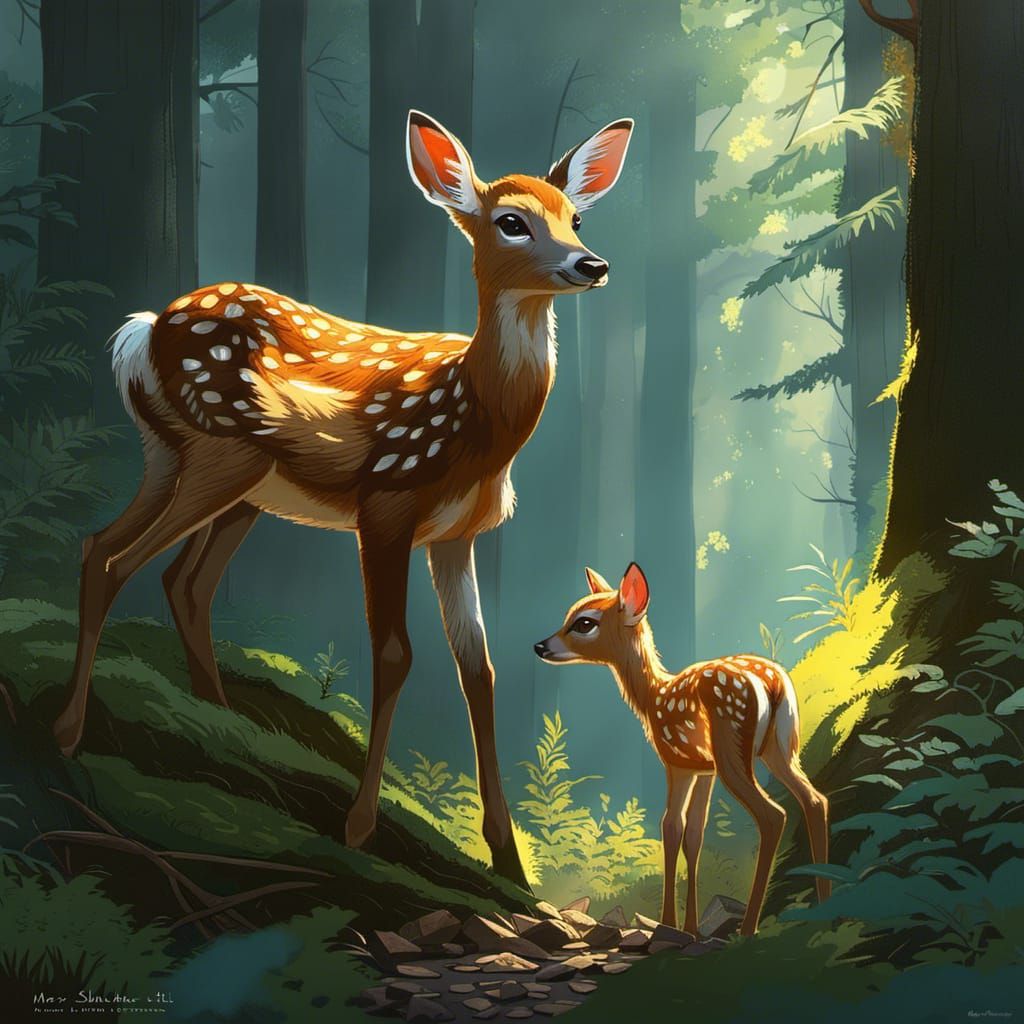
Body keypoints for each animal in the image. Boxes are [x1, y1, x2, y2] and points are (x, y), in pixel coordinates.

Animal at [51, 109, 633, 889]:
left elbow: (477, 670)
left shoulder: (456, 536)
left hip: (209, 472)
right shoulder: (385, 506)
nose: (591, 264)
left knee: (162, 571)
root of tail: (143, 329)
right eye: (511, 222)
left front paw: (508, 856)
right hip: (219, 453)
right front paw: (359, 827)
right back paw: (70, 732)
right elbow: (393, 654)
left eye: (575, 216)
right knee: (119, 560)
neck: (477, 425)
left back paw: (223, 714)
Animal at [534, 563, 830, 935]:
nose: (540, 646)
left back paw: (748, 928)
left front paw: (667, 922)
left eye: (584, 622)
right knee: (816, 800)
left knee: (773, 814)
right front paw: (690, 926)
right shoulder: (704, 769)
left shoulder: (676, 762)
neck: (652, 697)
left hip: (734, 749)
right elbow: (694, 834)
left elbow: (671, 826)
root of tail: (773, 683)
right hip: (781, 748)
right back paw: (826, 907)